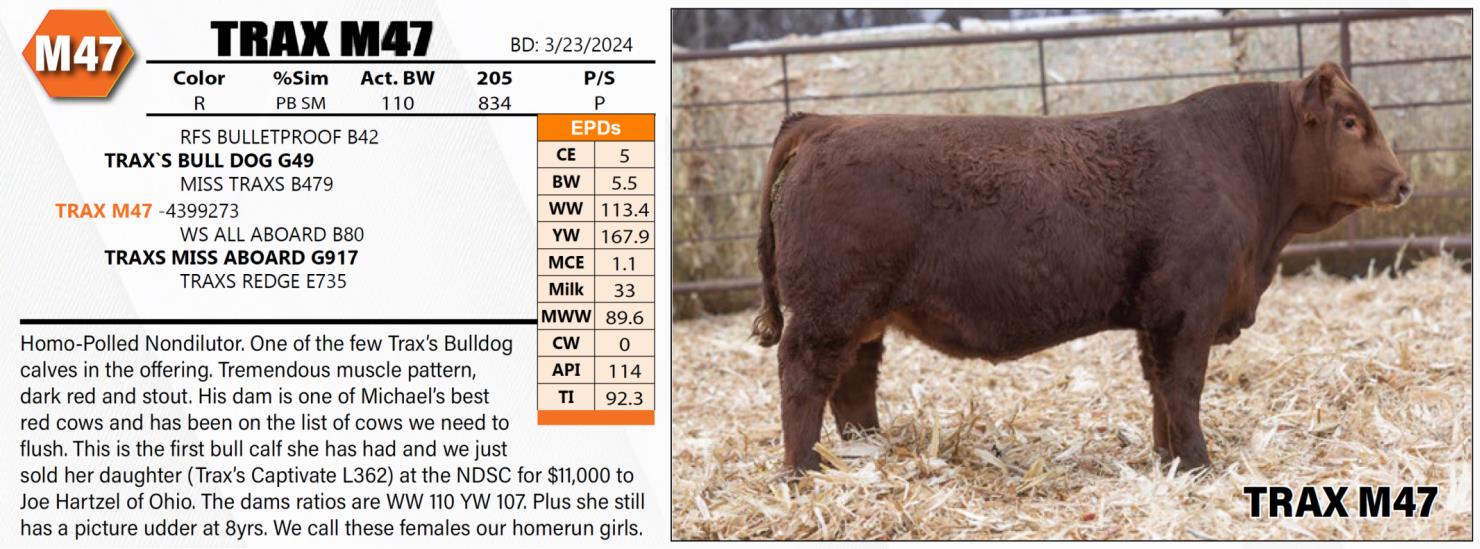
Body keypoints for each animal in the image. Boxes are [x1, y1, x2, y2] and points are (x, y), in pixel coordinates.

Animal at [752, 62, 1410, 474]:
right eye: (1351, 122)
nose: (1403, 183)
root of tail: (826, 124)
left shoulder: (1156, 318)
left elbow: (1160, 390)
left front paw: (1169, 459)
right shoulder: (1186, 312)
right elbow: (1183, 387)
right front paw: (1200, 464)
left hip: (862, 315)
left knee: (853, 384)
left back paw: (865, 454)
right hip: (829, 310)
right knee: (804, 376)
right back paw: (804, 469)